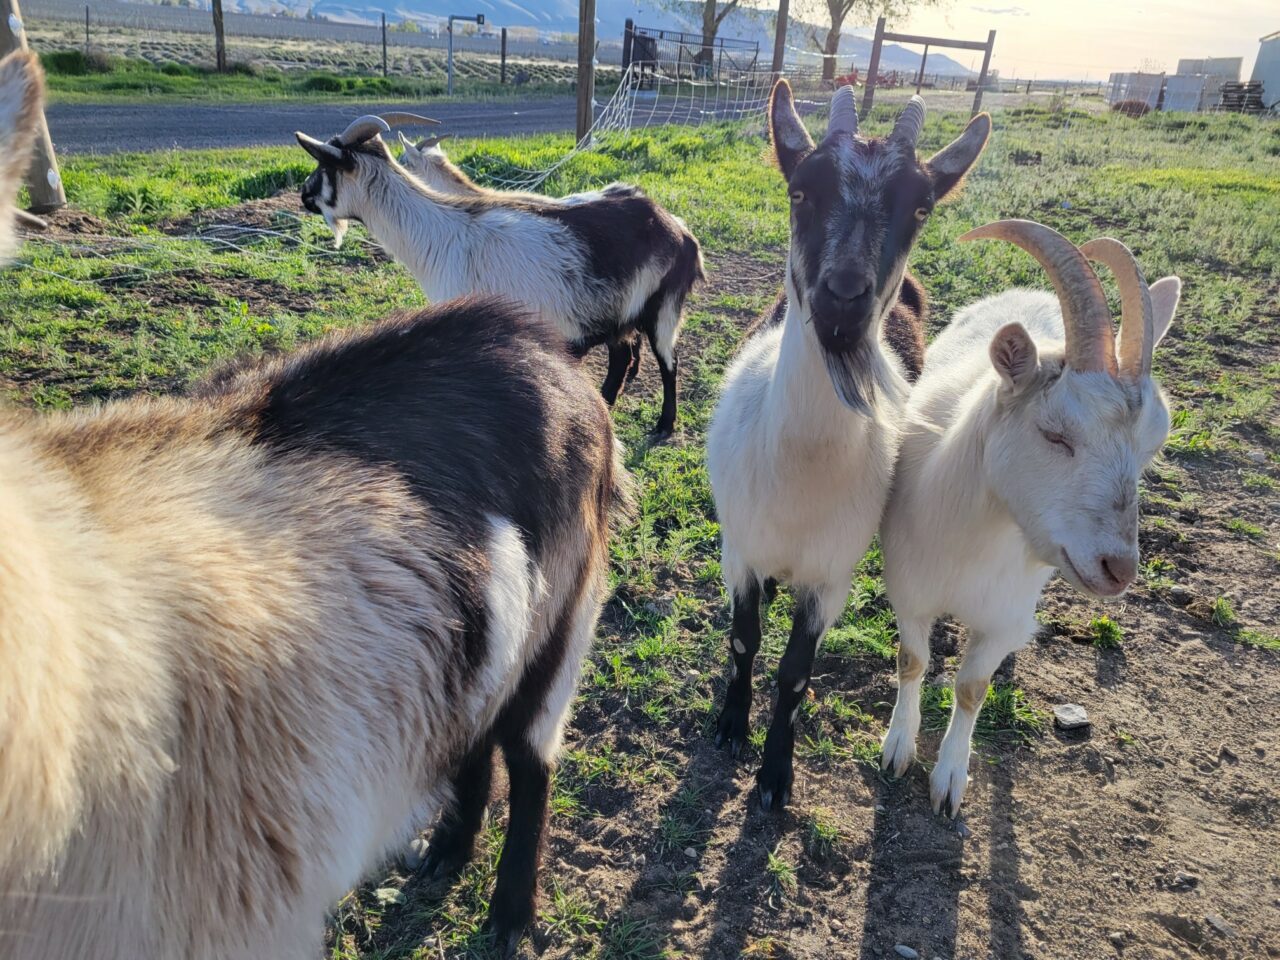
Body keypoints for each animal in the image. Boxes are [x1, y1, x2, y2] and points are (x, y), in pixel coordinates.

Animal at [0, 56, 624, 960]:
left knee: (530, 753)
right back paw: (445, 853)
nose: (298, 199)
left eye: (323, 168)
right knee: (474, 736)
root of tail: (542, 352)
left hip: (563, 616)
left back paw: (510, 913)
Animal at [297, 115, 704, 439]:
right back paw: (605, 404)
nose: (303, 195)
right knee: (621, 357)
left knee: (669, 362)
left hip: (663, 308)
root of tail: (681, 233)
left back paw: (664, 425)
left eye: (322, 167)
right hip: (616, 313)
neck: (437, 234)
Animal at [706, 81, 990, 810]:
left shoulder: (832, 576)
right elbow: (744, 641)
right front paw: (729, 726)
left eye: (920, 207)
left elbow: (796, 672)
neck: (798, 475)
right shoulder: (738, 547)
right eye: (800, 190)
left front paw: (775, 775)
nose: (843, 300)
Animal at [880, 219, 1181, 817]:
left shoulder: (1004, 616)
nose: (1119, 569)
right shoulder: (910, 588)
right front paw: (898, 747)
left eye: (1151, 447)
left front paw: (950, 778)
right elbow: (912, 661)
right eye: (1055, 434)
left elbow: (972, 688)